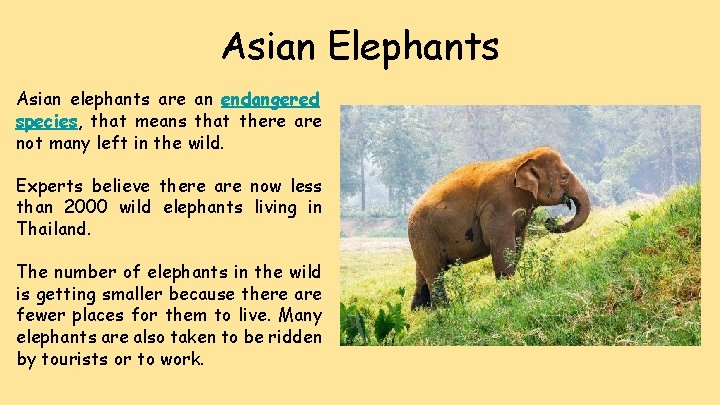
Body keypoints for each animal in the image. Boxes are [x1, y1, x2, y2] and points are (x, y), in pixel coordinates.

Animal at [408, 147, 591, 309]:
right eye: (564, 177)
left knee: (422, 274)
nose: (549, 221)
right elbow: (502, 246)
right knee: (435, 273)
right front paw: (509, 289)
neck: (521, 159)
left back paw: (421, 310)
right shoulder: (497, 206)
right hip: (424, 236)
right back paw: (445, 309)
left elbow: (518, 244)